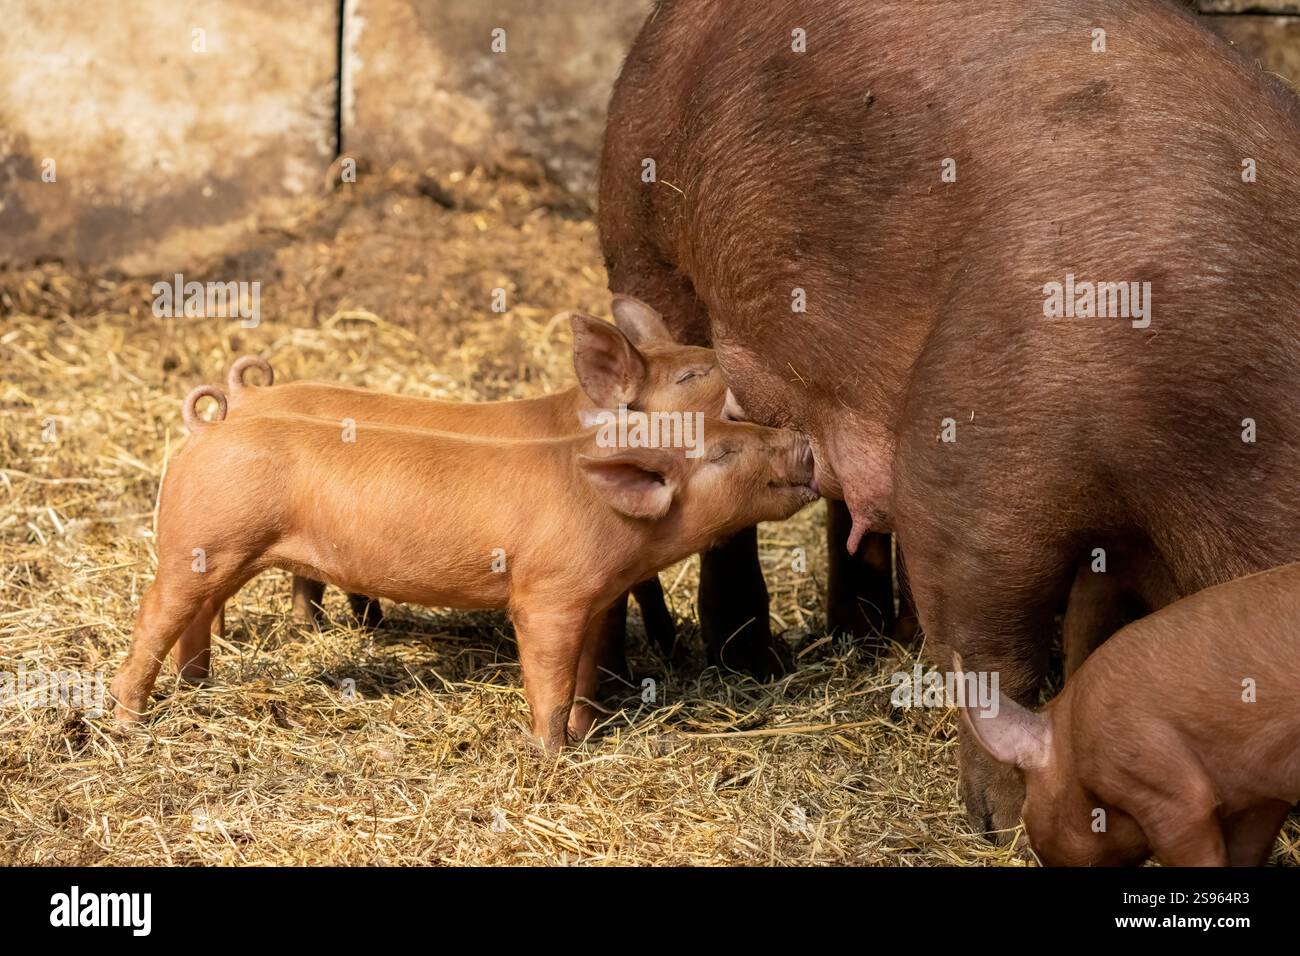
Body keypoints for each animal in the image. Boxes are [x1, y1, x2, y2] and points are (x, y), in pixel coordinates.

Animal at [110, 385, 819, 748]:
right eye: (723, 453)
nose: (805, 442)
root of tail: (205, 432)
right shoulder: (545, 594)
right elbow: (550, 681)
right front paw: (552, 754)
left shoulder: (594, 596)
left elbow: (586, 675)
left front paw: (586, 736)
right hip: (197, 546)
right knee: (150, 621)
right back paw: (130, 723)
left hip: (221, 553)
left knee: (194, 621)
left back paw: (199, 689)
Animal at [599, 0, 1300, 833]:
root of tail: (659, 24)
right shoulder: (980, 449)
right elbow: (992, 646)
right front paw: (997, 823)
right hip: (647, 247)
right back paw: (745, 661)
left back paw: (864, 636)